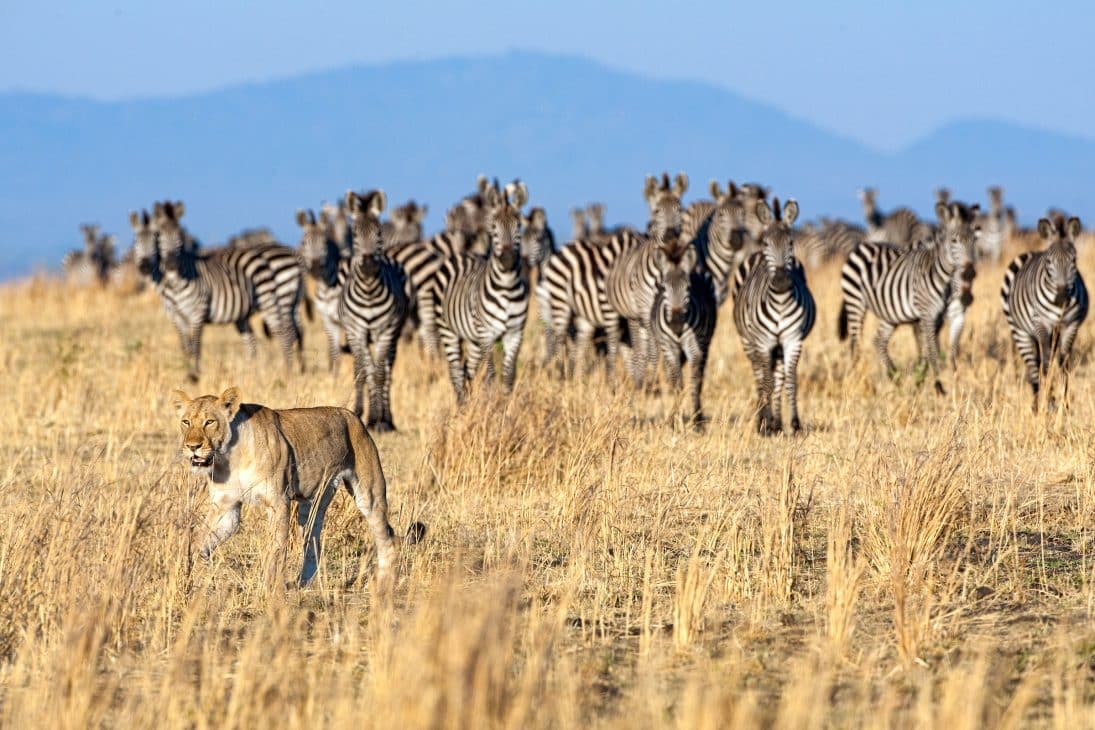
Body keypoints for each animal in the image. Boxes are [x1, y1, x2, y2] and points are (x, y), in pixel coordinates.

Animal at [170, 386, 424, 588]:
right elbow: (200, 538)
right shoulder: (227, 507)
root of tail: (353, 416)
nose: (192, 447)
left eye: (210, 422)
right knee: (313, 543)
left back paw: (385, 581)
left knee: (387, 539)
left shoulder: (278, 503)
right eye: (186, 422)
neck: (229, 457)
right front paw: (187, 569)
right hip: (313, 503)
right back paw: (301, 584)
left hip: (369, 493)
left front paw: (269, 589)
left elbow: (274, 551)